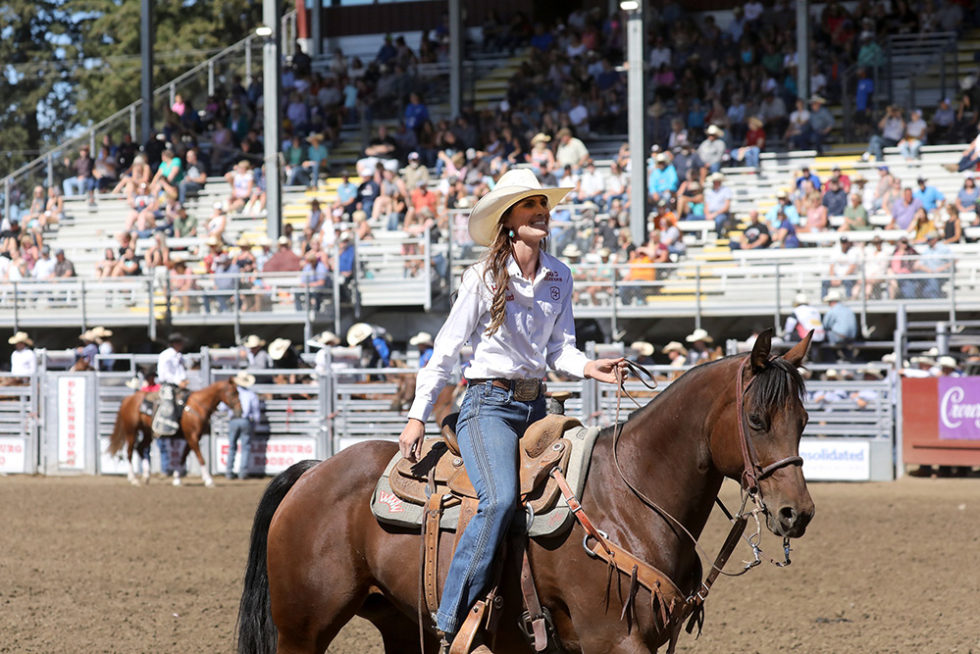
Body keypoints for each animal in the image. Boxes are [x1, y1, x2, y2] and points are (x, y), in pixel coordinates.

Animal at [107, 379, 241, 487]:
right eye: (233, 393)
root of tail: (128, 399)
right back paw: (133, 479)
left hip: (148, 432)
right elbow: (200, 458)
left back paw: (146, 476)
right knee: (129, 452)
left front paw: (177, 479)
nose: (240, 411)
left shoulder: (192, 438)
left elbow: (183, 458)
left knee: (140, 448)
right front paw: (209, 480)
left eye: (238, 393)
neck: (197, 406)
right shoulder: (192, 437)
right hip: (131, 431)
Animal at [237, 331, 815, 654]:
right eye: (757, 420)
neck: (631, 501)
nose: (797, 513)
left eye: (805, 420)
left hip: (398, 622)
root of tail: (313, 471)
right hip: (302, 629)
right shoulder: (613, 640)